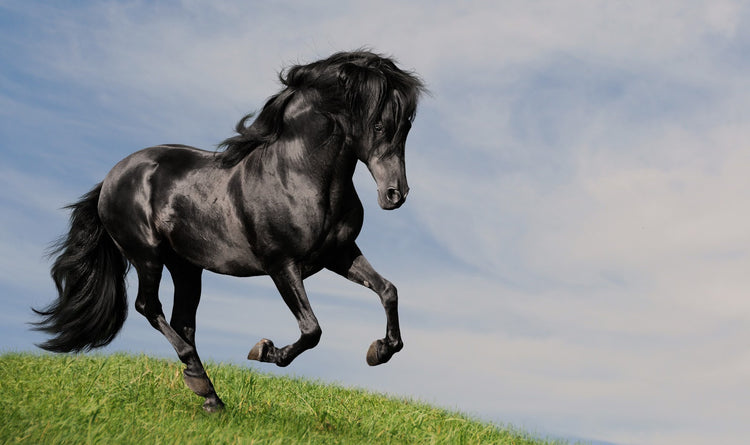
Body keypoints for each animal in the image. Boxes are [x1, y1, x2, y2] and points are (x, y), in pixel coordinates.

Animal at [33, 50, 425, 411]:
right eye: (378, 125)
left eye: (406, 126)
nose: (395, 195)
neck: (299, 176)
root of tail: (112, 178)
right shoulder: (282, 265)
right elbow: (312, 330)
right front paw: (264, 350)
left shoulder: (338, 254)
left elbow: (388, 291)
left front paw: (379, 351)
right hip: (148, 255)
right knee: (149, 306)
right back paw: (198, 379)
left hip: (187, 267)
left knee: (182, 322)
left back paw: (212, 398)